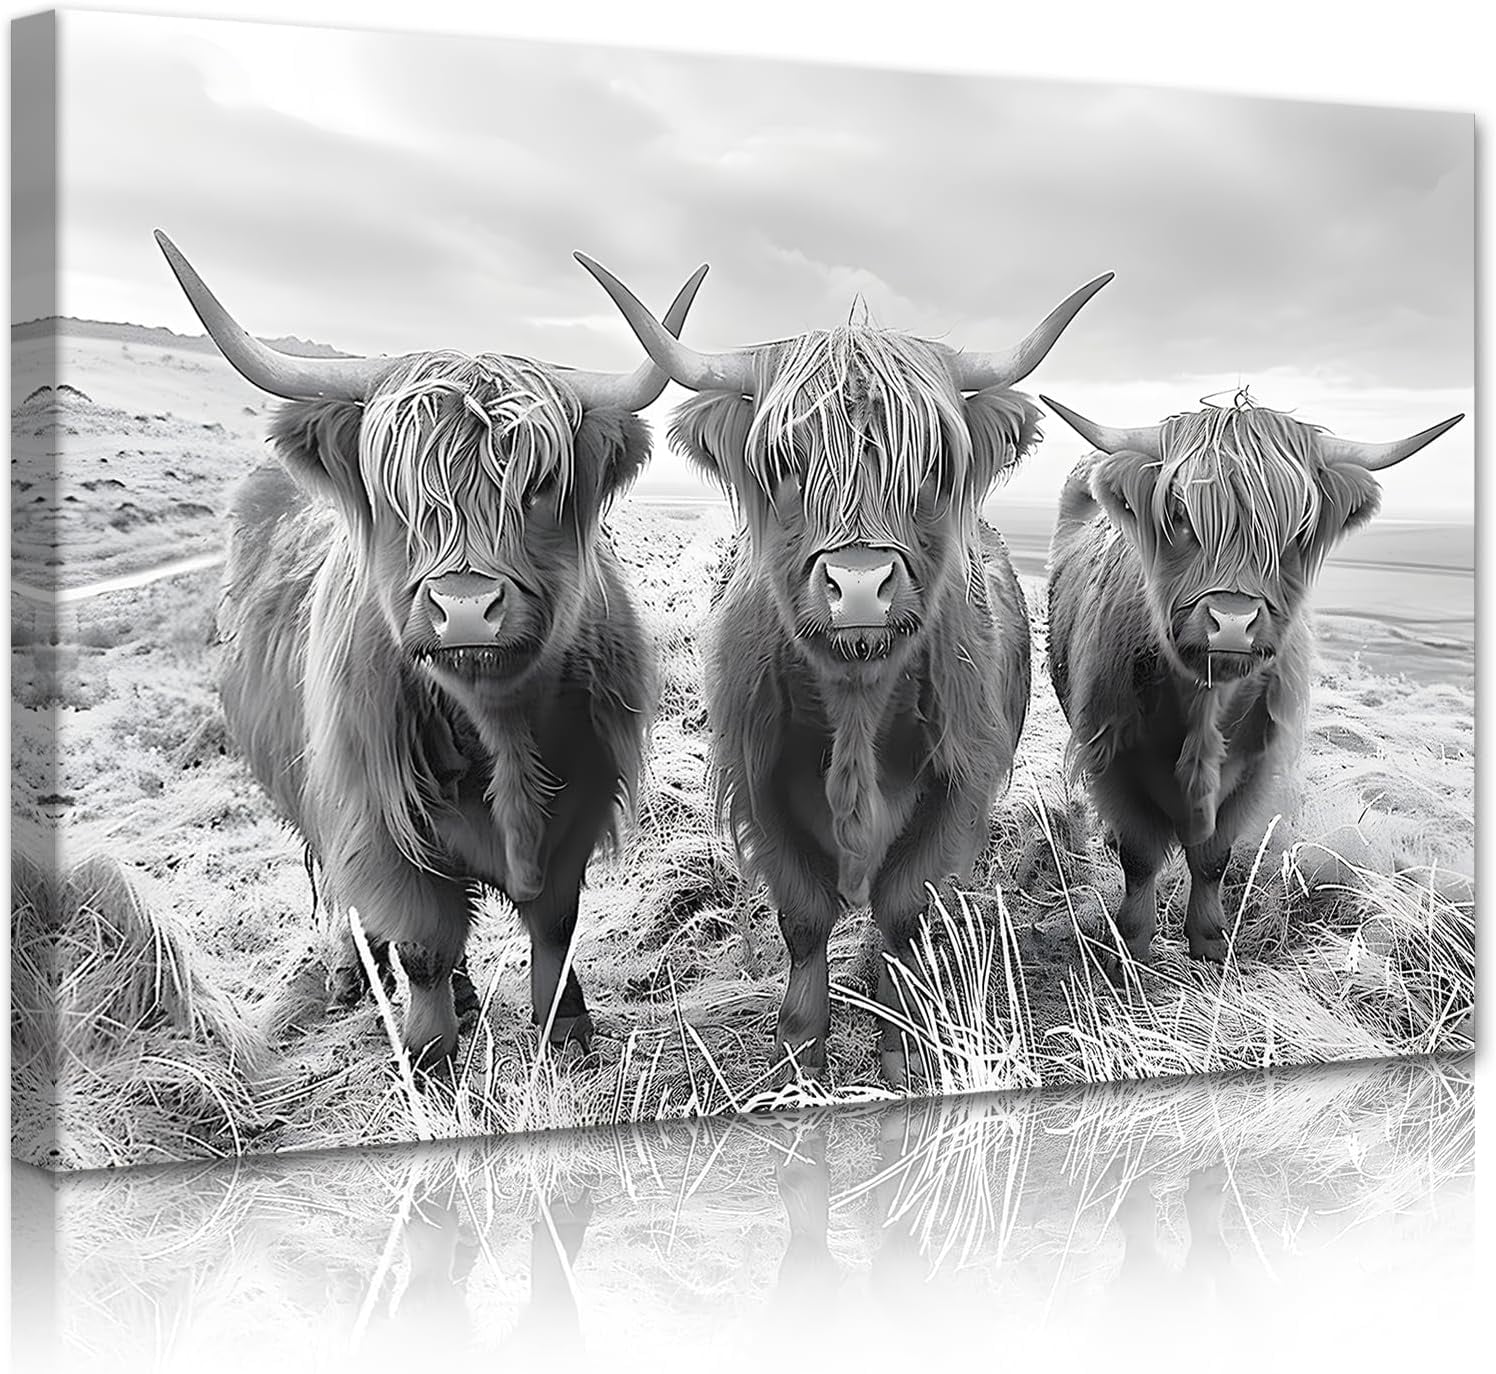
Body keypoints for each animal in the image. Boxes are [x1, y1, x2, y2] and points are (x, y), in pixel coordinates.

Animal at [154, 231, 707, 1065]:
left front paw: (567, 1029)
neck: (501, 728)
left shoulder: (581, 797)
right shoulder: (378, 816)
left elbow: (557, 923)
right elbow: (423, 941)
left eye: (538, 484)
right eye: (399, 494)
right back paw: (363, 979)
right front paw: (429, 1049)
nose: (466, 608)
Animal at [577, 254, 1111, 1085]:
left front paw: (905, 1044)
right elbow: (802, 914)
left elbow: (903, 909)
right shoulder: (758, 782)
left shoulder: (955, 783)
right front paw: (798, 1049)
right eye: (783, 460)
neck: (857, 707)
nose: (859, 585)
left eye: (932, 461)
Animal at [1041, 391, 1464, 972]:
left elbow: (1214, 855)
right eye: (1179, 514)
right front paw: (1132, 945)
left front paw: (1210, 941)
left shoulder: (1253, 763)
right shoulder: (1115, 755)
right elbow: (1140, 854)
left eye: (1298, 530)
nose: (1232, 622)